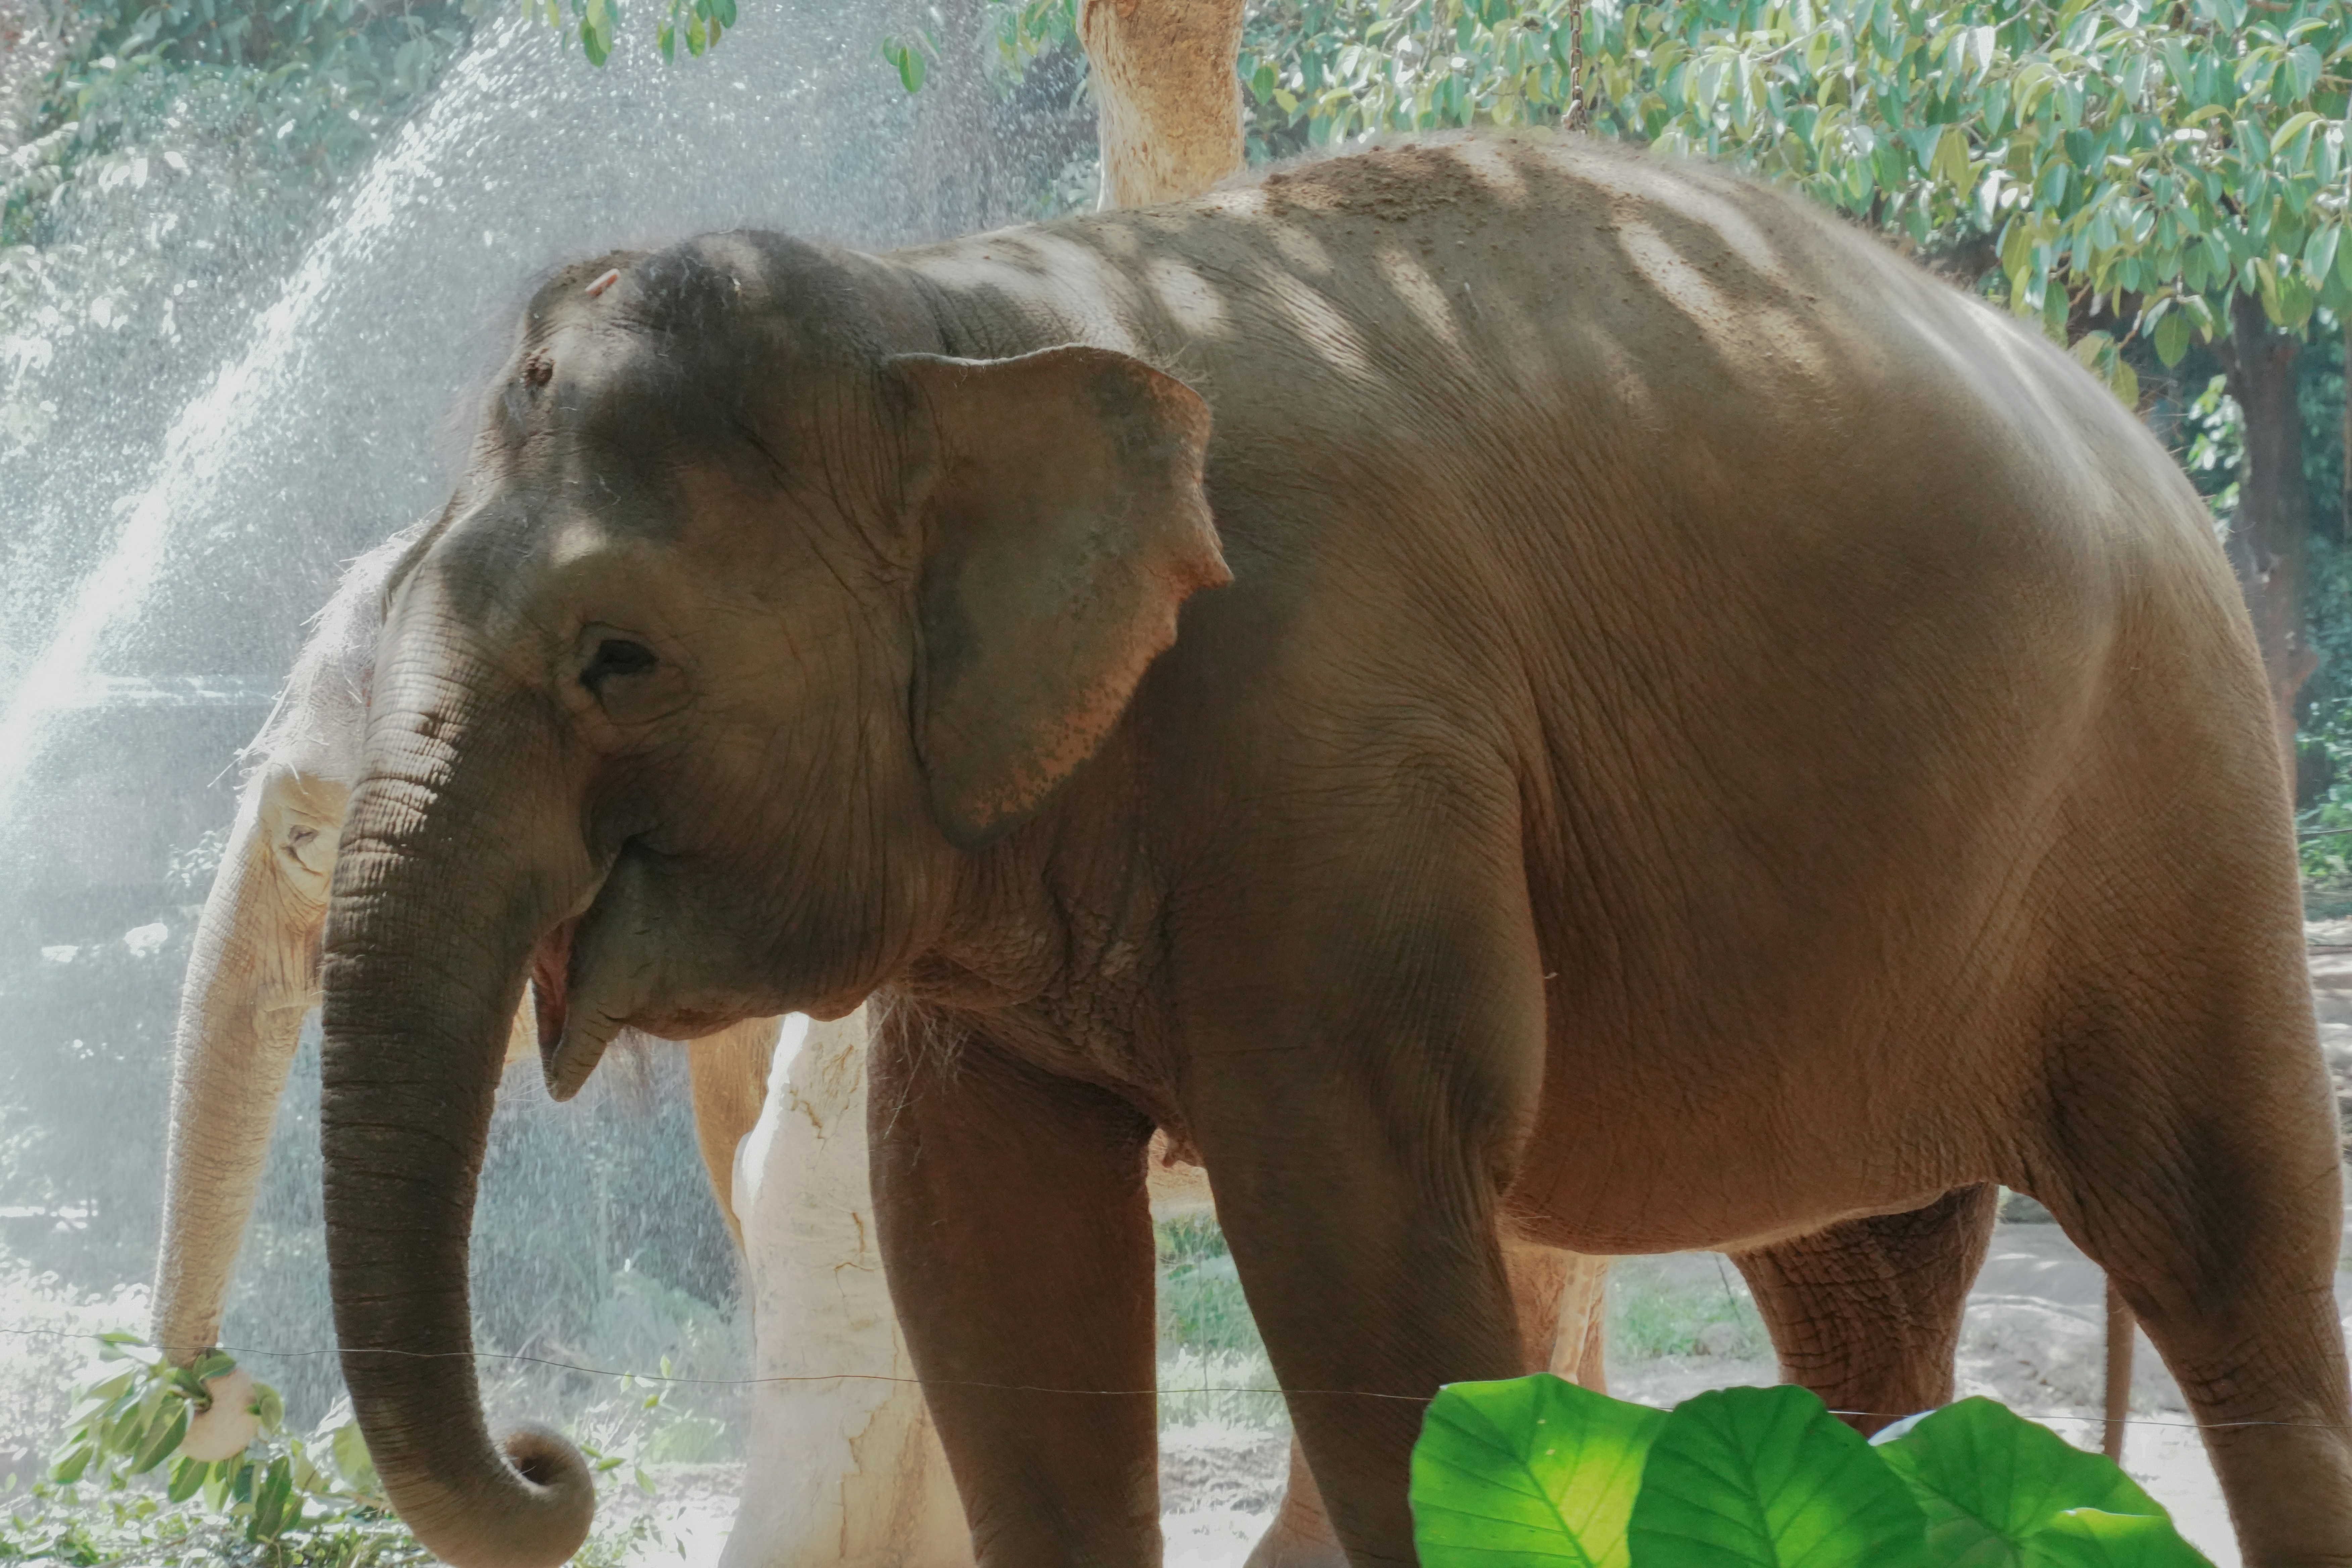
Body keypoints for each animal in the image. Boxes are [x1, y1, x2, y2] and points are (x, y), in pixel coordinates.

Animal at [307, 129, 2352, 1568]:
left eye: (618, 659)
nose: (555, 1463)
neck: (963, 309)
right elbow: (977, 1230)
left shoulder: (1348, 740)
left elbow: (1363, 1249)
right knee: (1862, 1323)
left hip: (2178, 819)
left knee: (2232, 1276)